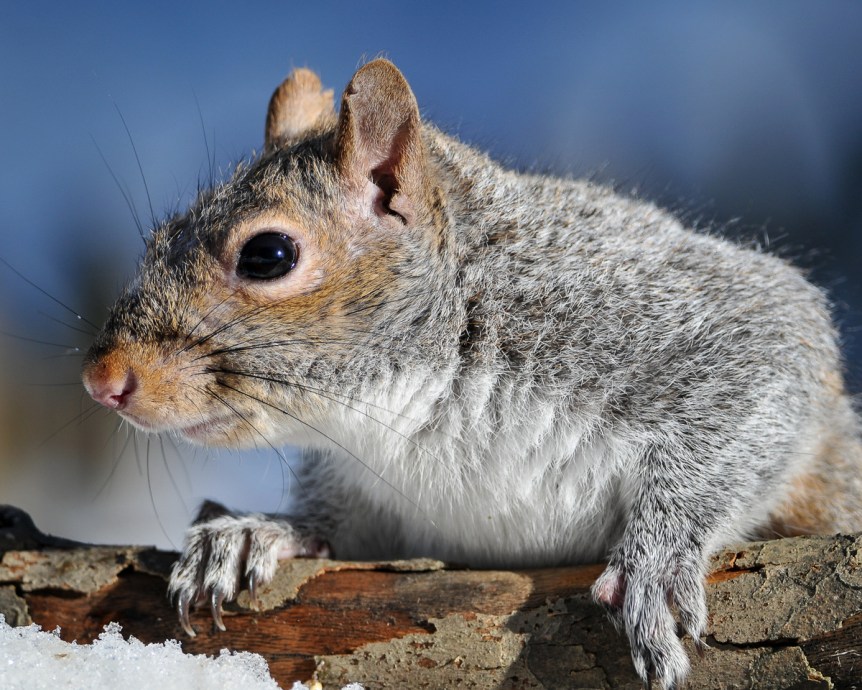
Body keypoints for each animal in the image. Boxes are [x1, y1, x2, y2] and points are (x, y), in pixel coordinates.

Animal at [81, 59, 862, 688]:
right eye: (156, 238)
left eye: (267, 254)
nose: (102, 380)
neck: (401, 411)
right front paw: (258, 532)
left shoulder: (682, 319)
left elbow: (758, 381)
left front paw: (659, 560)